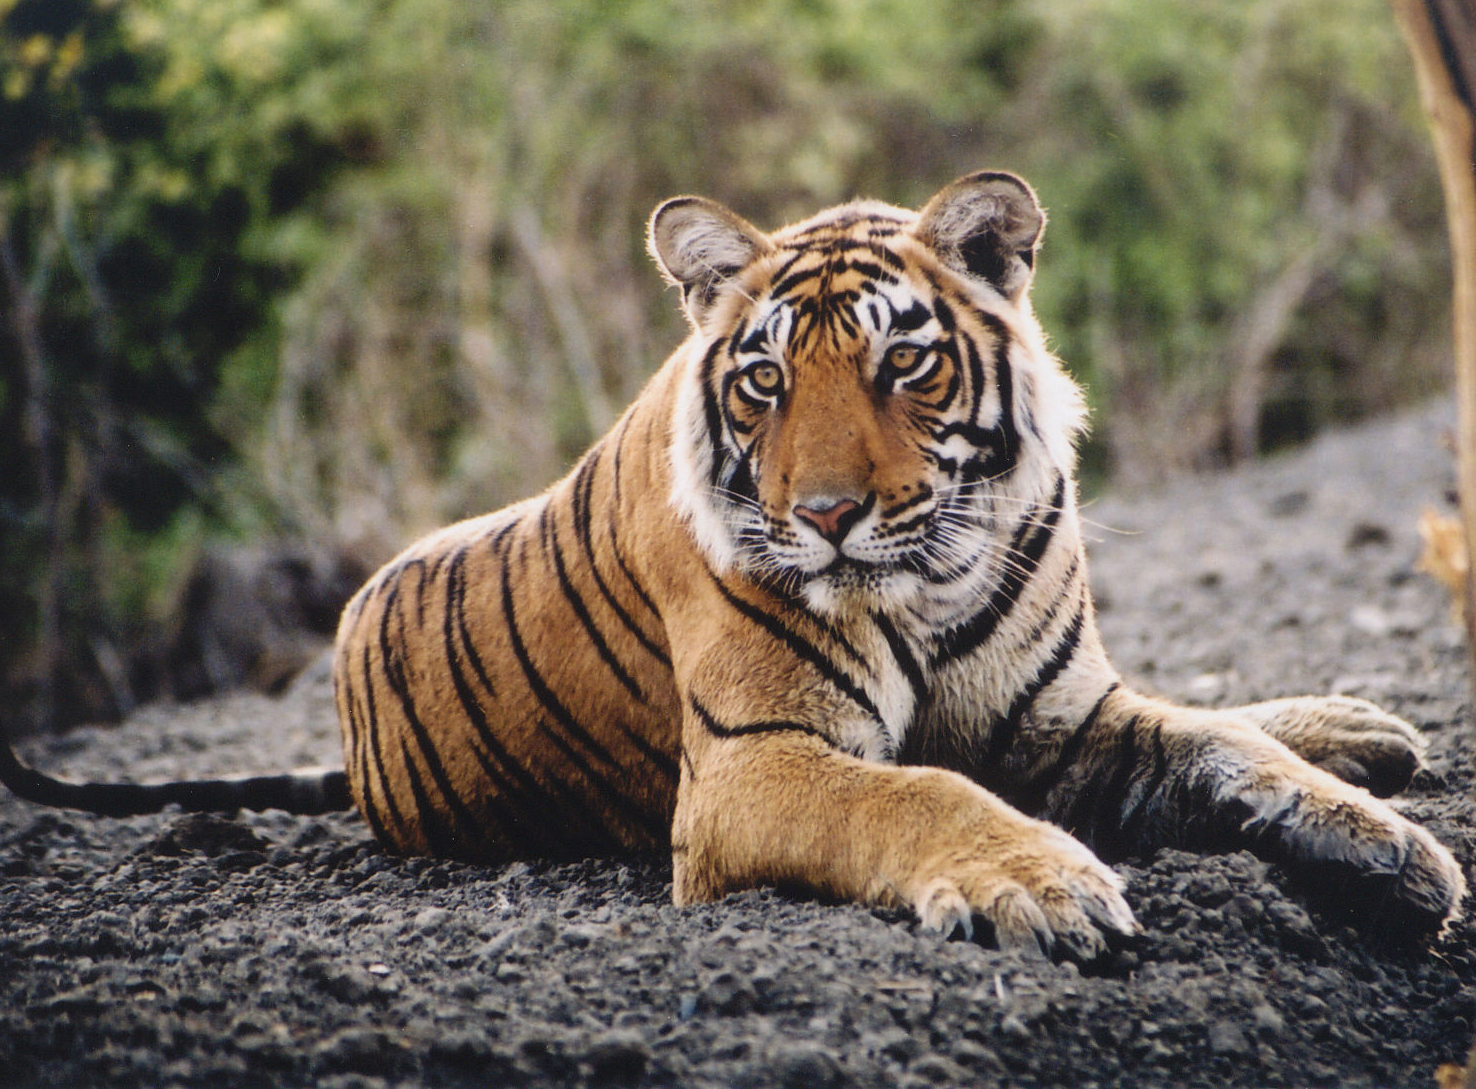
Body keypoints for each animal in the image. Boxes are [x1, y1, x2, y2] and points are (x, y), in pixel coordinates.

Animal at [1, 171, 1464, 956]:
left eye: (903, 363)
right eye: (765, 381)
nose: (823, 515)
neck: (930, 579)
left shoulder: (1068, 721)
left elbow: (1225, 750)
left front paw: (1393, 853)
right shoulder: (754, 767)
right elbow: (918, 792)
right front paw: (1048, 883)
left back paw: (1361, 731)